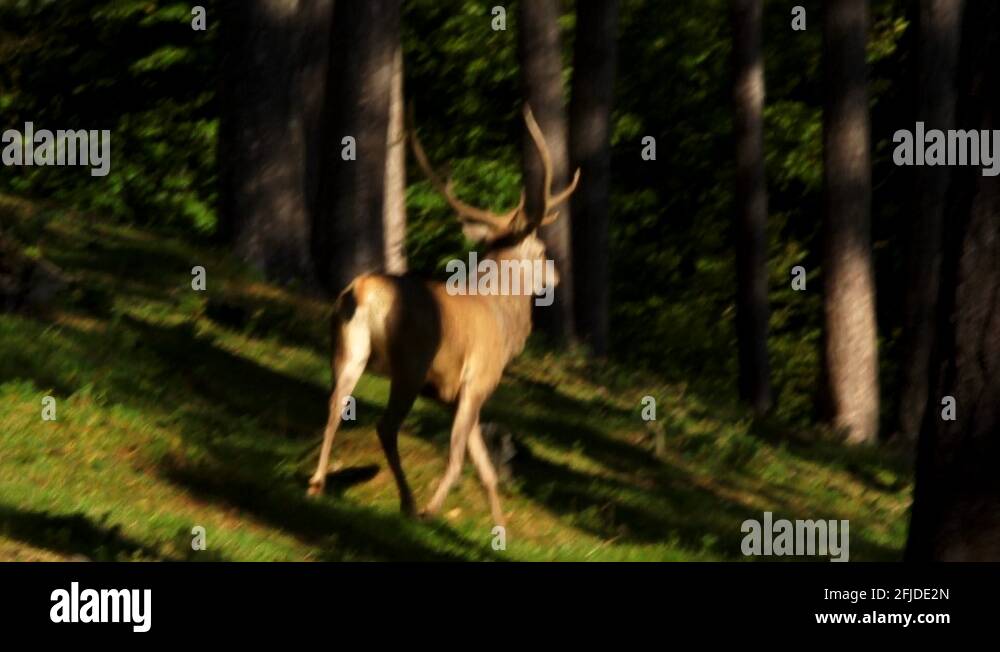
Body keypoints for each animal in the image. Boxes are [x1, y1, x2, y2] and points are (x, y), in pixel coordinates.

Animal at [306, 105, 580, 526]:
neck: (505, 324)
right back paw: (409, 504)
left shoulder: (459, 395)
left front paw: (500, 529)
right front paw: (433, 511)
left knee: (335, 403)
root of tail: (361, 293)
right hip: (411, 363)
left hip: (347, 349)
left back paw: (317, 482)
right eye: (540, 251)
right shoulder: (478, 381)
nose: (557, 276)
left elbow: (485, 468)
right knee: (385, 426)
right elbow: (456, 459)